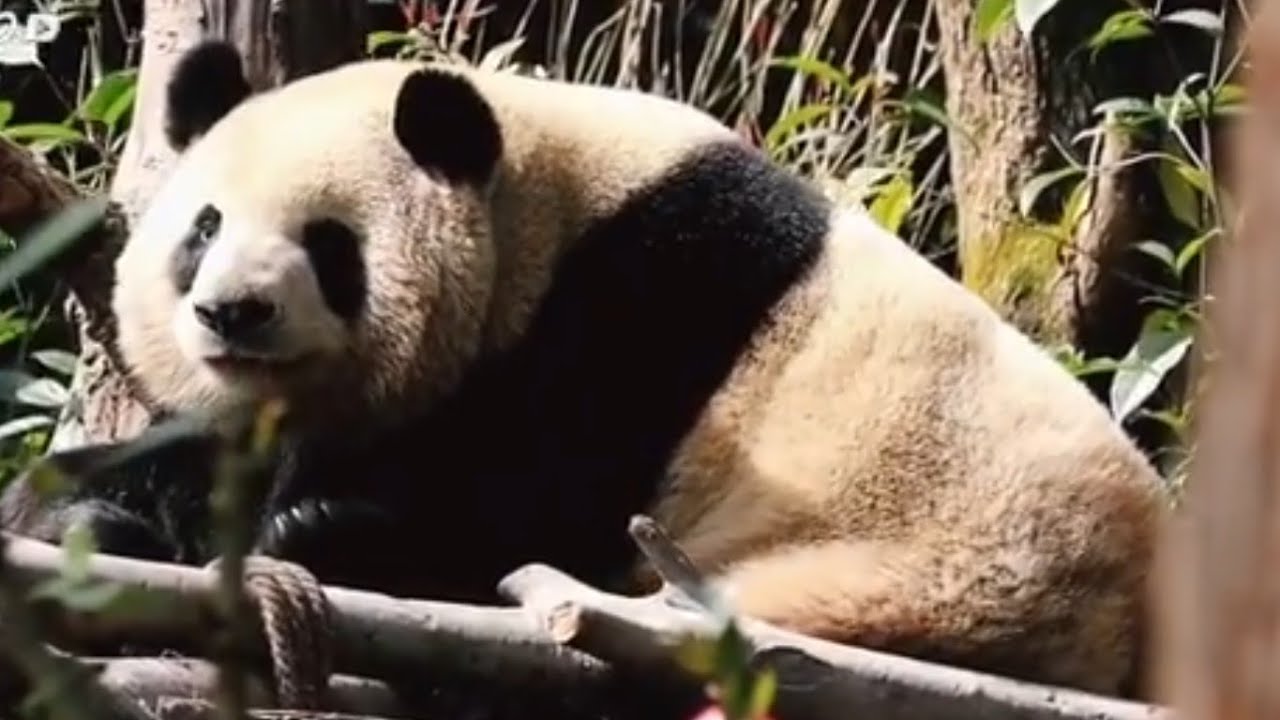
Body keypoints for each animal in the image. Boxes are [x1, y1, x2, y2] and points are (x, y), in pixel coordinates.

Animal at [2, 39, 1167, 702]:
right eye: (201, 228)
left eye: (329, 245)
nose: (231, 313)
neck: (540, 199)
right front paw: (83, 504)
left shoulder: (637, 310)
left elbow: (523, 499)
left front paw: (318, 525)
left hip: (919, 583)